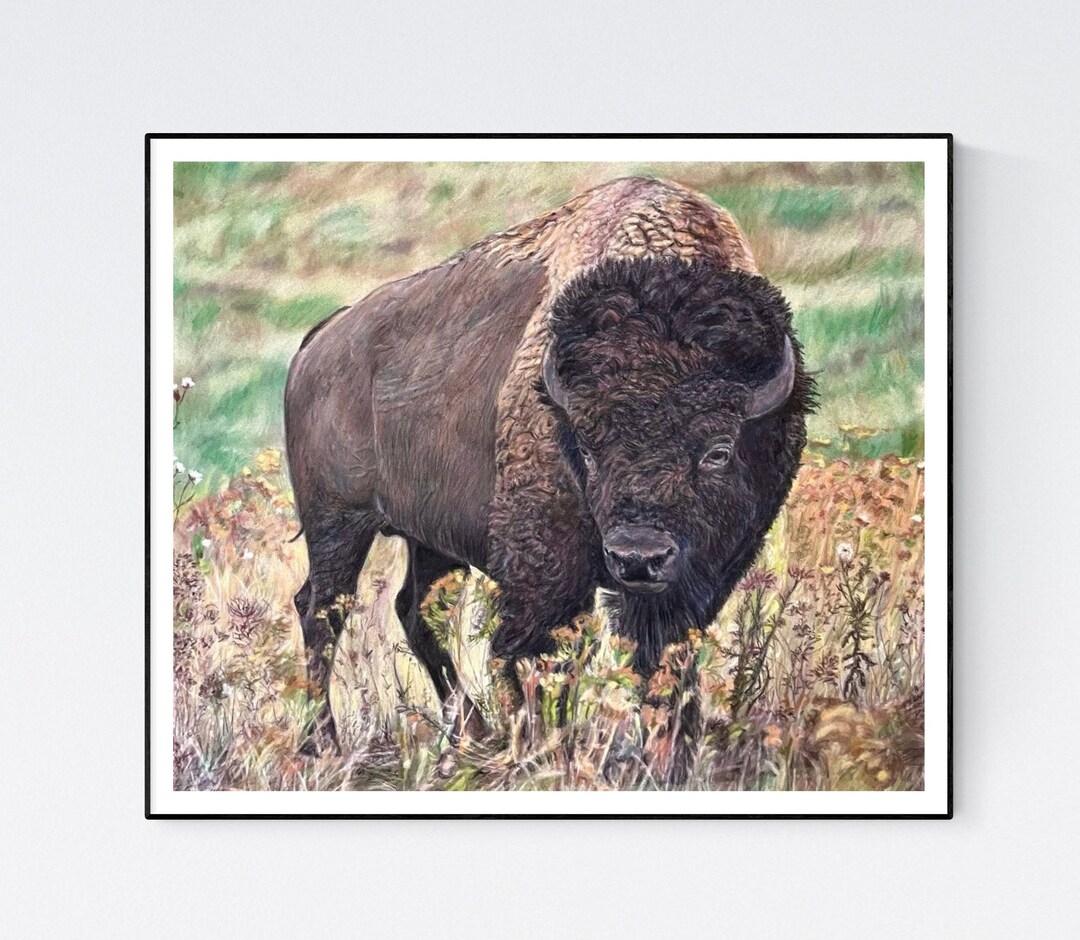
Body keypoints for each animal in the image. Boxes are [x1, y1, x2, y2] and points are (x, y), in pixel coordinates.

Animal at [285, 177, 815, 745]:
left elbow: (664, 657)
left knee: (410, 609)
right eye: (586, 448)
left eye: (718, 451)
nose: (637, 557)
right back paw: (325, 742)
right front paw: (546, 741)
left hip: (430, 540)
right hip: (338, 523)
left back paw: (472, 728)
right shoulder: (543, 570)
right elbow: (538, 652)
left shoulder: (698, 576)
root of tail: (319, 341)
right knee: (322, 612)